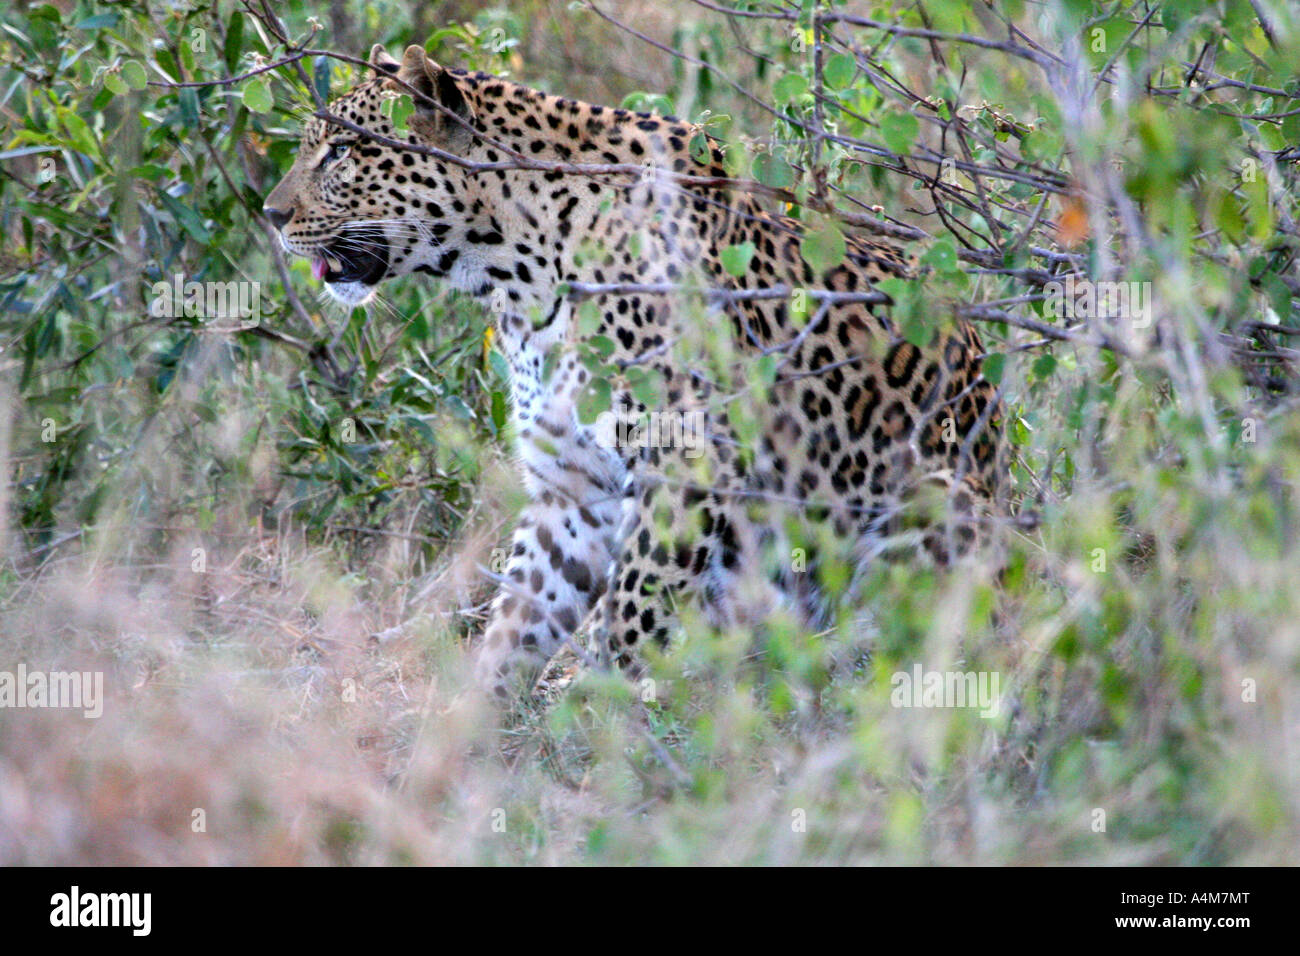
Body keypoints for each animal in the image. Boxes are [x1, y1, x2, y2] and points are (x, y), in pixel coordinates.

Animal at [264, 44, 1010, 702]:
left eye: (343, 151)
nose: (271, 214)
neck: (516, 273)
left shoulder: (686, 461)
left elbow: (629, 615)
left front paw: (598, 713)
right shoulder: (572, 483)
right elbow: (523, 613)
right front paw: (470, 724)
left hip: (933, 505)